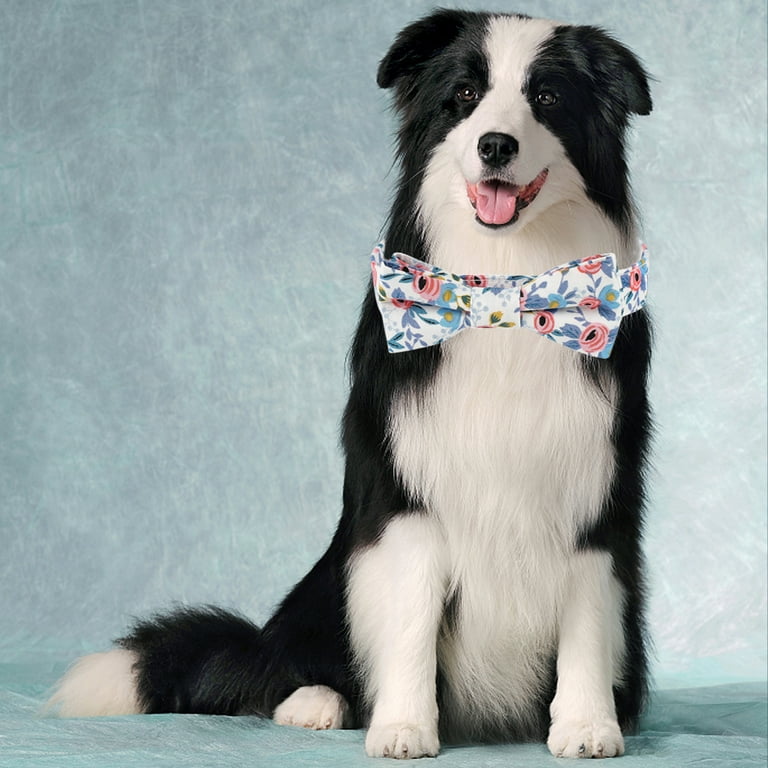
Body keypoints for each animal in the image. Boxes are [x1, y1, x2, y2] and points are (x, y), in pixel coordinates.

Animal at [48, 9, 653, 760]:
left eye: (546, 98)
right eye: (463, 95)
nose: (495, 145)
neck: (503, 282)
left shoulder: (597, 492)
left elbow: (587, 622)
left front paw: (587, 725)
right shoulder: (405, 495)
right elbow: (411, 617)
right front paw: (403, 726)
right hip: (323, 581)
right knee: (286, 667)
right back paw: (314, 701)